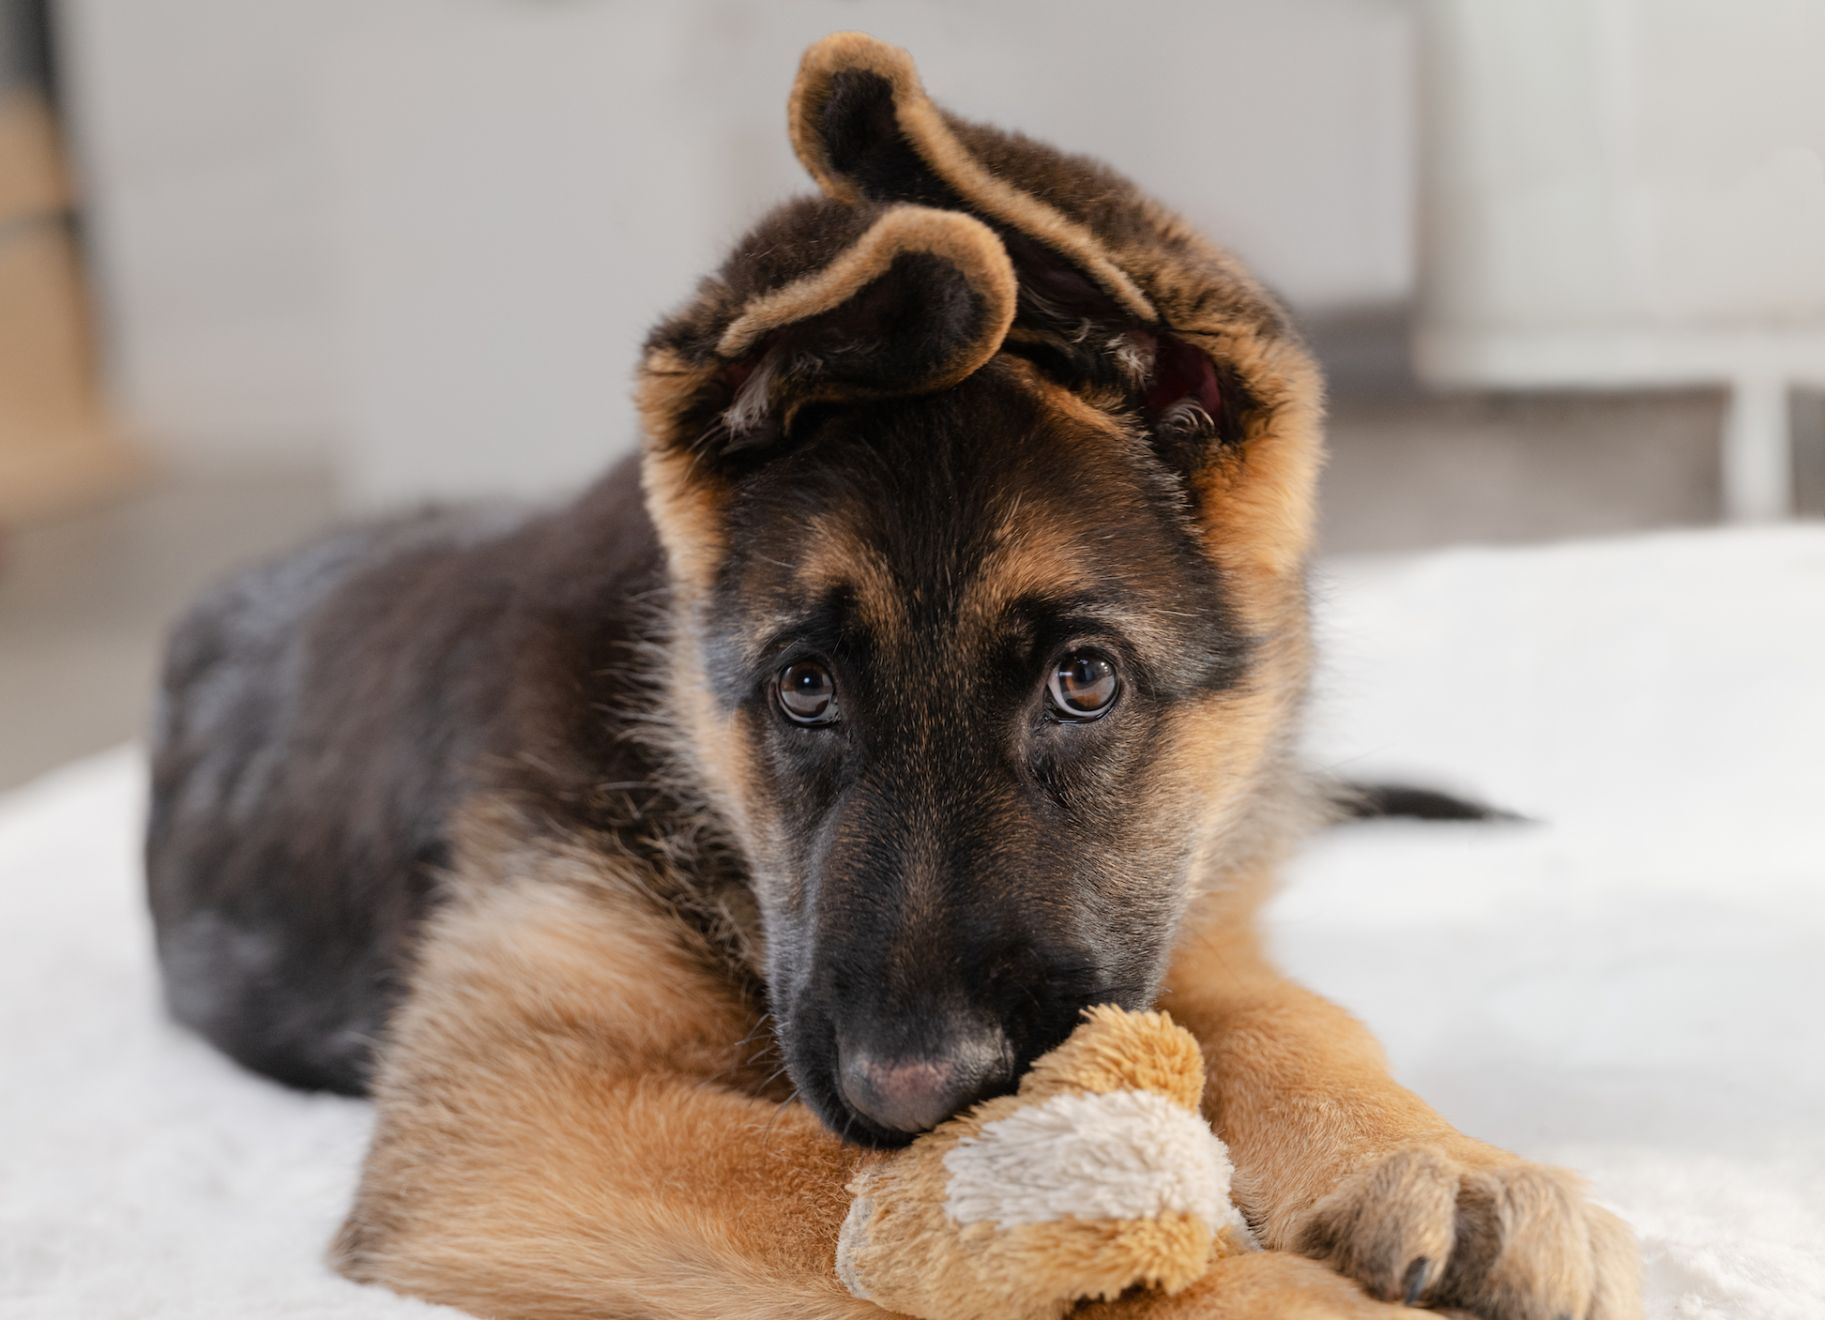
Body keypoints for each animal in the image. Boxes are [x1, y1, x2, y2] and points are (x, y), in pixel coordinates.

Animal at [149, 31, 1642, 1320]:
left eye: (1085, 682)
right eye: (802, 687)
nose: (914, 1088)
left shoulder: (1173, 919)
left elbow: (1293, 1022)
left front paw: (1437, 1160)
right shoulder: (514, 1113)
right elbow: (999, 1209)